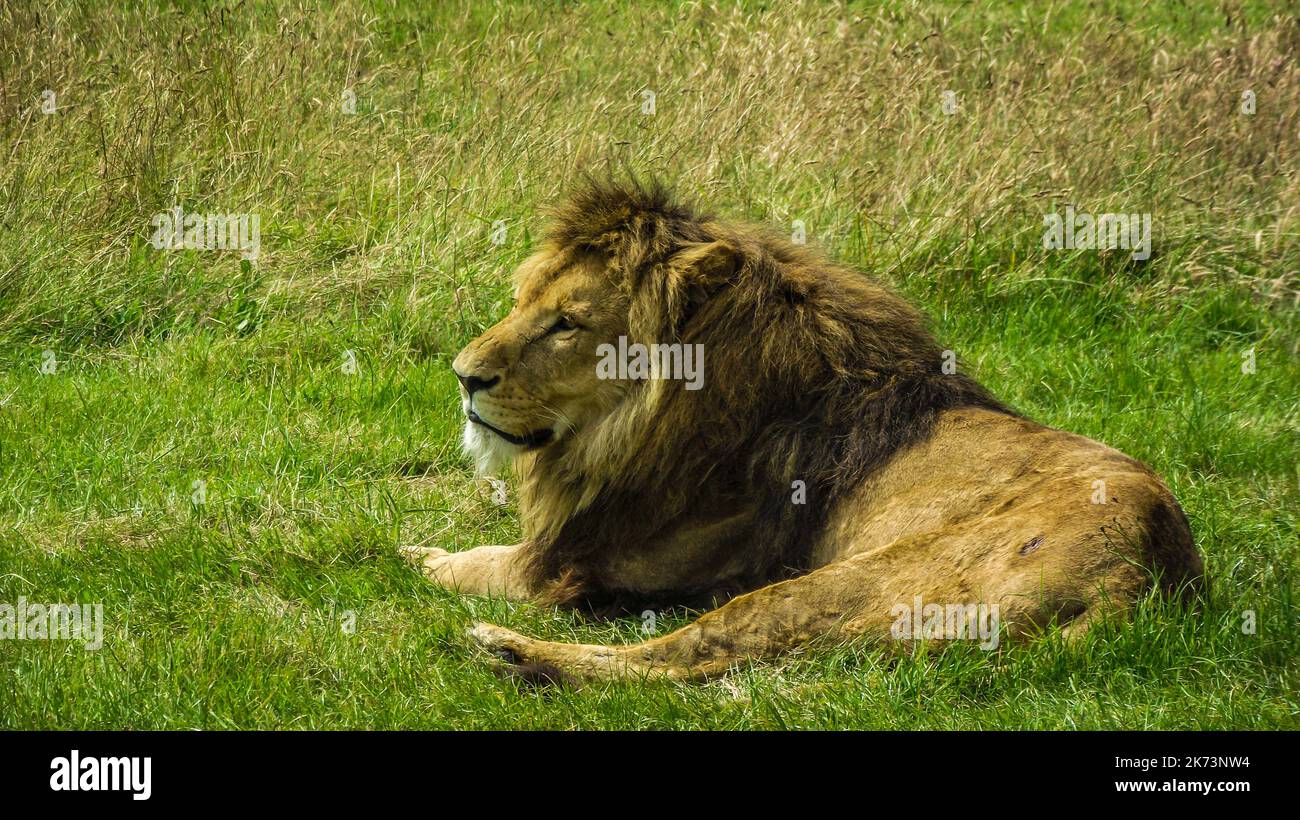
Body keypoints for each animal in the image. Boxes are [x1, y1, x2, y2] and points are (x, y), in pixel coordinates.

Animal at [402, 180, 1202, 682]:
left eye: (566, 322)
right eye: (521, 302)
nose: (463, 377)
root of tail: (1149, 571)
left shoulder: (571, 565)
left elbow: (474, 567)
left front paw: (416, 556)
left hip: (861, 579)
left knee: (686, 654)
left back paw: (509, 652)